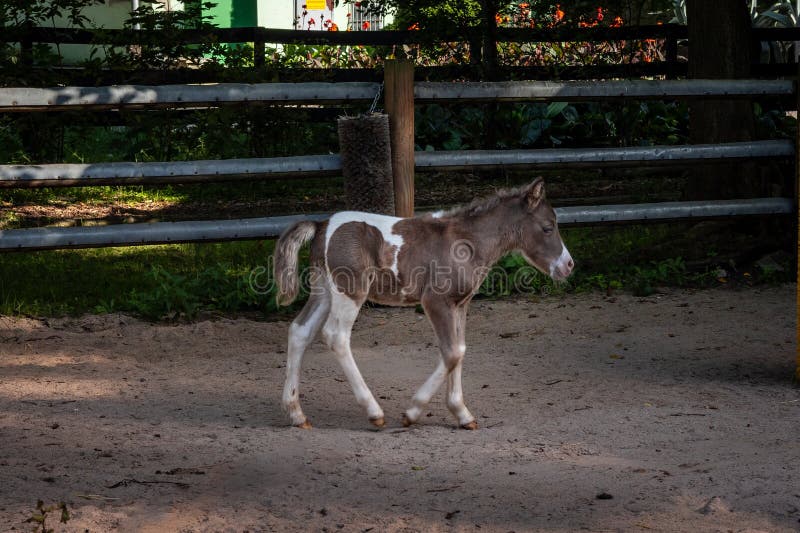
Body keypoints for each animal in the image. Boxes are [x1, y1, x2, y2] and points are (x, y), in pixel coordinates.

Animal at [273, 178, 574, 430]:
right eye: (548, 227)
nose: (568, 265)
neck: (467, 242)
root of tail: (321, 226)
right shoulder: (436, 300)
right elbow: (452, 352)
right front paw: (413, 412)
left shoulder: (460, 304)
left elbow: (460, 349)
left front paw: (462, 414)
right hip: (350, 290)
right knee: (336, 336)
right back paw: (374, 412)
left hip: (324, 290)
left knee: (300, 331)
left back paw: (296, 414)